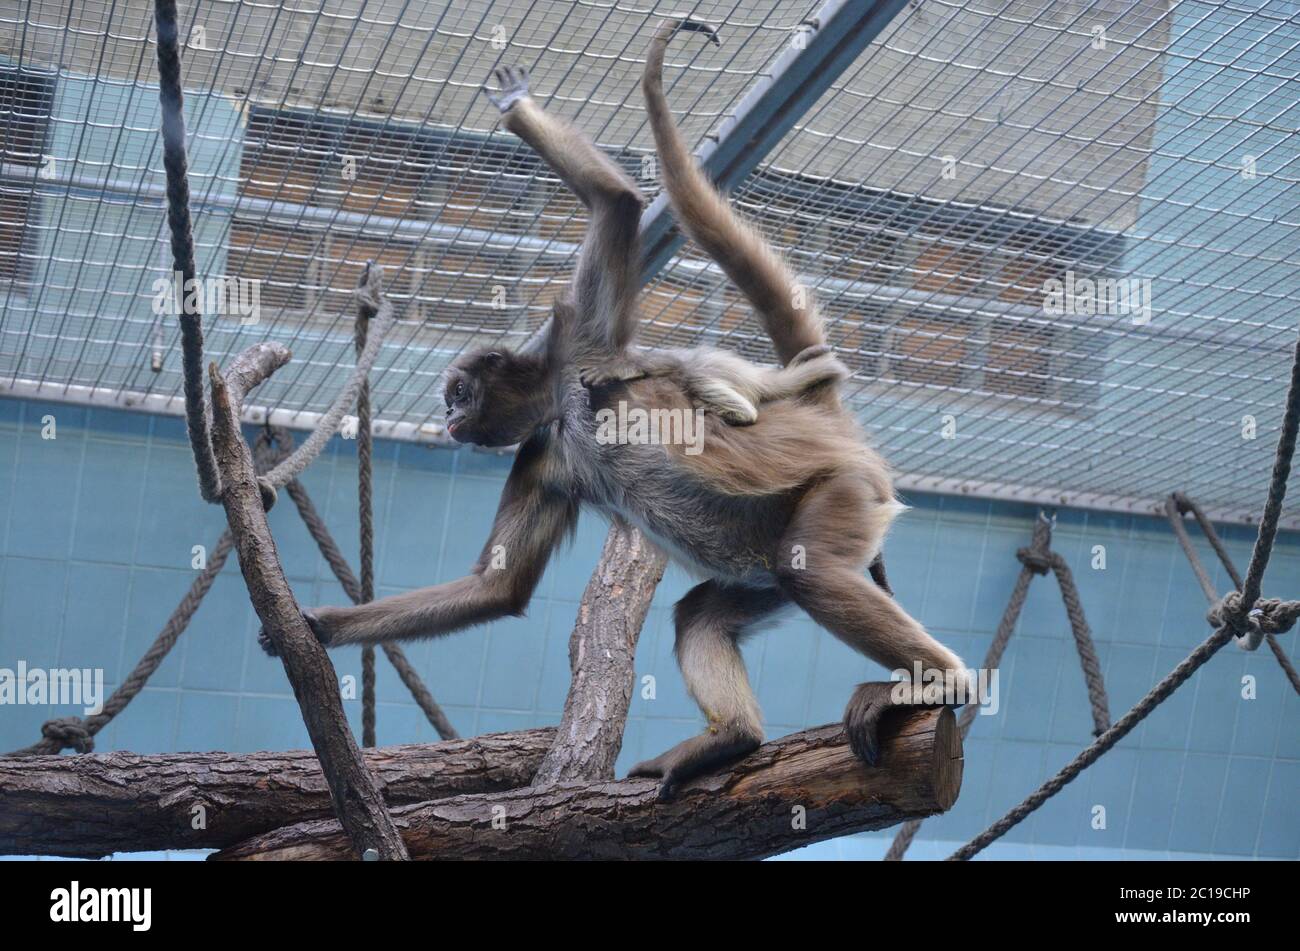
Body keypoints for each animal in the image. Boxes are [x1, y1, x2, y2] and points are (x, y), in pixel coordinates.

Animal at [265, 24, 968, 800]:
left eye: (458, 394)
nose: (445, 417)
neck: (563, 408)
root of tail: (827, 424)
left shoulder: (583, 341)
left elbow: (619, 203)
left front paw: (517, 106)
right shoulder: (544, 453)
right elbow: (496, 588)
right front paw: (319, 625)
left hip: (843, 492)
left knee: (808, 569)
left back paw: (944, 683)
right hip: (767, 556)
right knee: (705, 610)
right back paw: (732, 738)